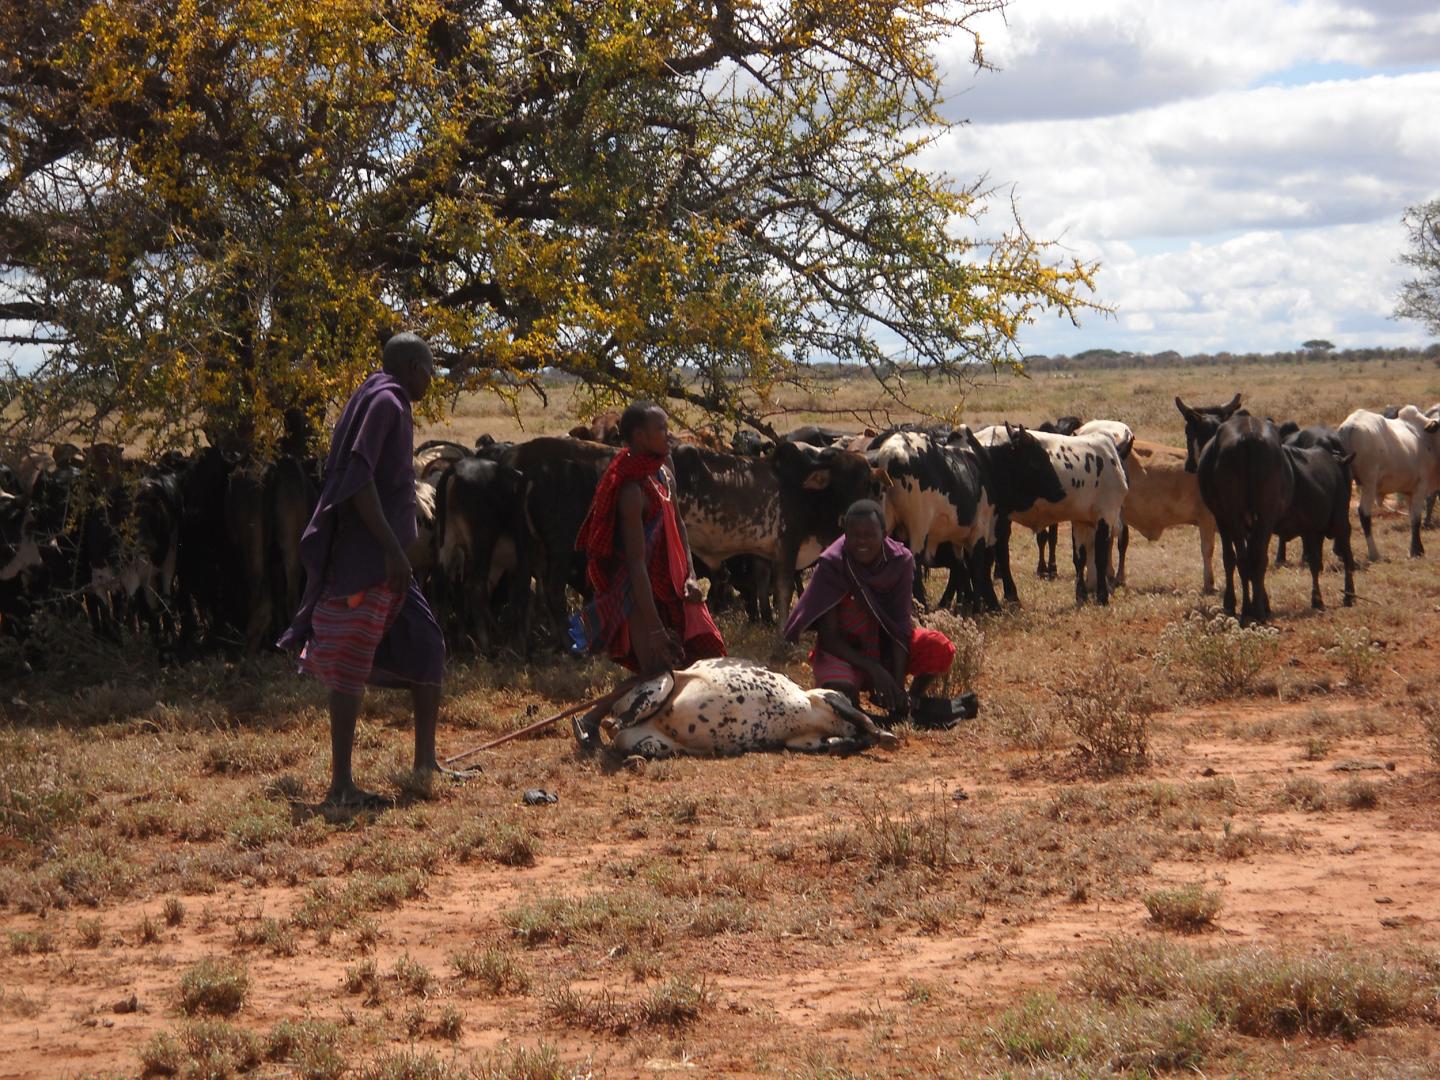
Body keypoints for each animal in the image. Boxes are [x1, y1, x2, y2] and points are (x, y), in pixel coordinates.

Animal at [599, 656, 898, 754]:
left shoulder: (805, 741)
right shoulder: (824, 698)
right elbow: (866, 720)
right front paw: (885, 736)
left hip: (653, 743)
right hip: (662, 682)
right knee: (624, 717)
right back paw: (610, 722)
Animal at [1336, 403, 1440, 558]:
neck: (1428, 439)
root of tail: (1349, 427)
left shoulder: (1409, 491)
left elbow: (1413, 519)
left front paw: (1418, 549)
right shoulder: (1420, 487)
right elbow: (1416, 519)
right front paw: (1415, 551)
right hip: (1369, 483)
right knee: (1364, 513)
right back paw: (1374, 553)